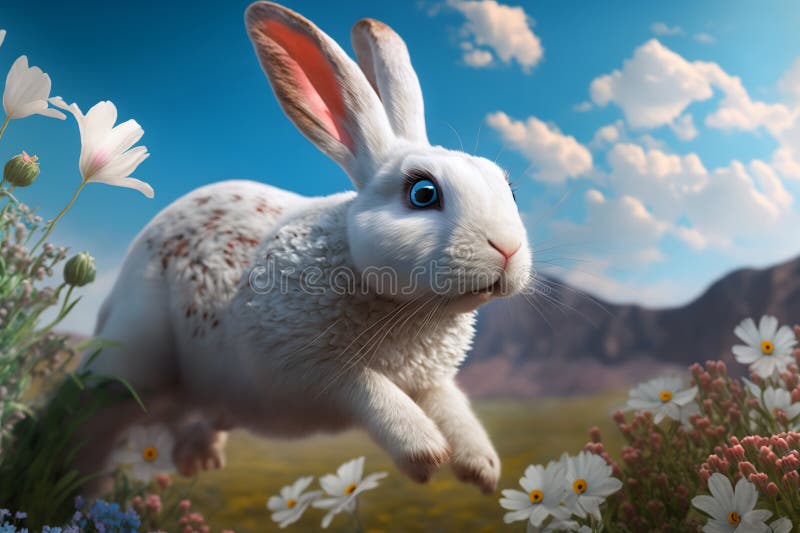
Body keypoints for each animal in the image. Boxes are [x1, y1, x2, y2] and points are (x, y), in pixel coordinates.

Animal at [76, 1, 532, 494]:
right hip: (135, 356)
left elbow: (454, 407)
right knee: (94, 420)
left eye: (510, 190)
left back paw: (200, 460)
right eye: (423, 193)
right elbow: (370, 390)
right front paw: (424, 453)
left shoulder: (431, 380)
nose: (507, 249)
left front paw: (481, 467)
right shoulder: (309, 368)